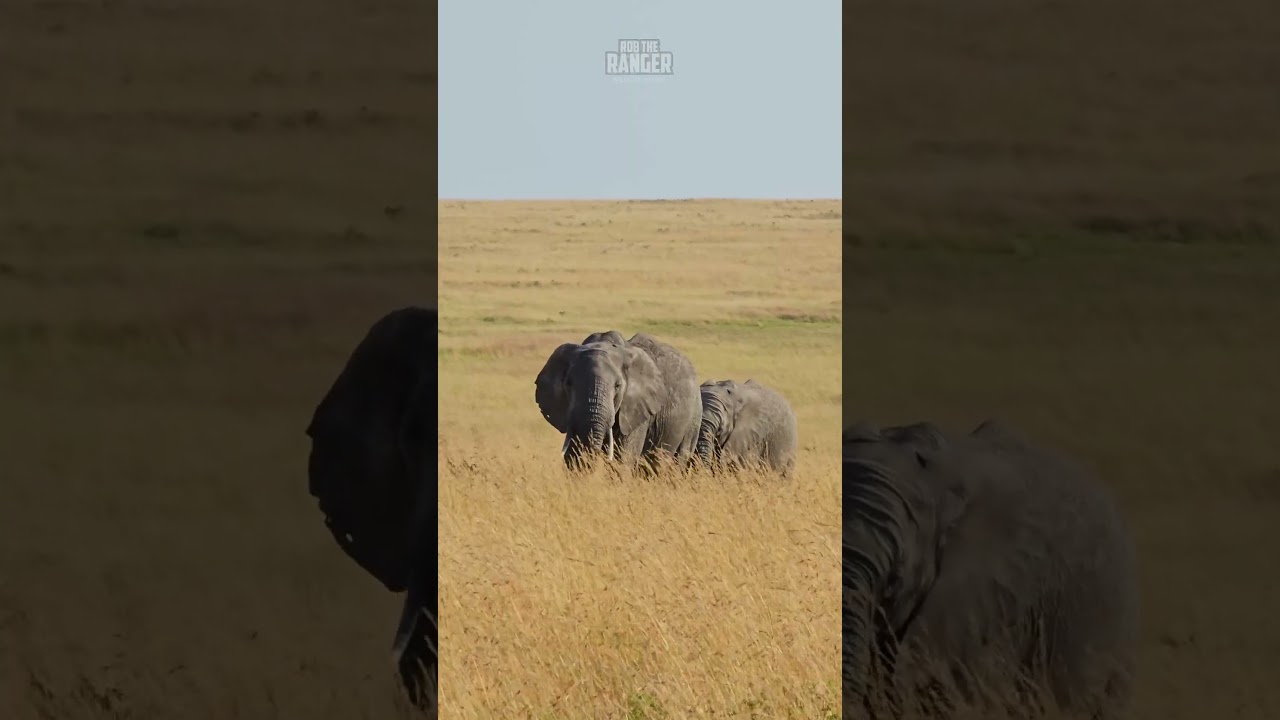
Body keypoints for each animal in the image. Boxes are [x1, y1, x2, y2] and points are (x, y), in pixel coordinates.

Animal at [535, 330, 702, 472]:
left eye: (617, 386)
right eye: (568, 384)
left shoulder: (636, 409)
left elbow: (622, 459)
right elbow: (574, 456)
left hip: (694, 417)